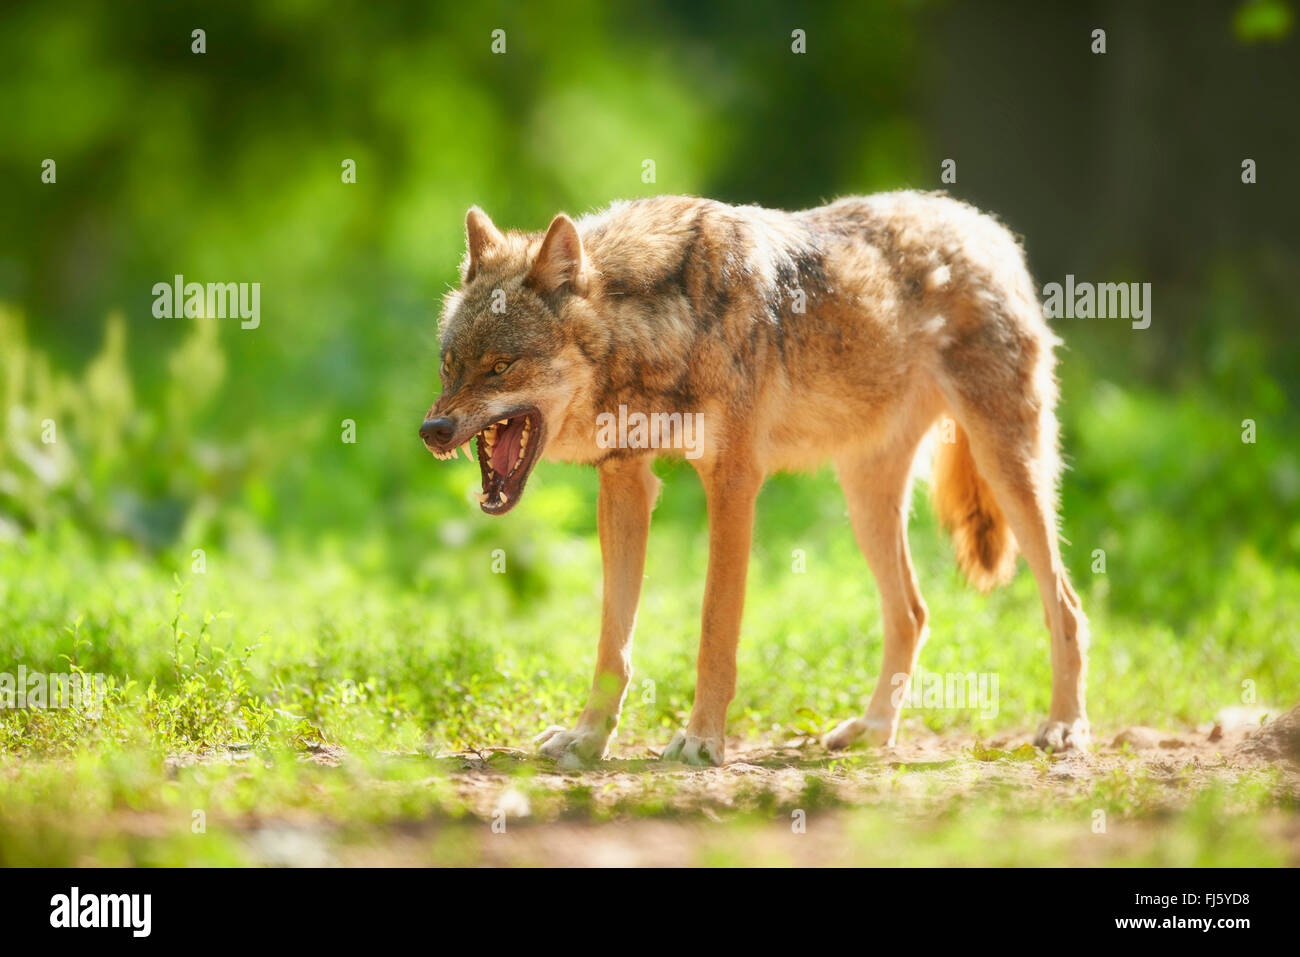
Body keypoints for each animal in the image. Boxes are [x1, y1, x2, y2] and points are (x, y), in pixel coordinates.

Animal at [420, 193, 1090, 766]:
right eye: (450, 366)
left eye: (501, 366)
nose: (433, 429)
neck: (664, 326)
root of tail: (985, 225)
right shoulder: (626, 484)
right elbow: (613, 644)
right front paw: (587, 740)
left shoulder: (733, 482)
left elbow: (715, 631)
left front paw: (700, 742)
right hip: (865, 502)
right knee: (913, 612)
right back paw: (875, 731)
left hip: (1008, 470)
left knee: (1066, 604)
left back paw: (1063, 729)